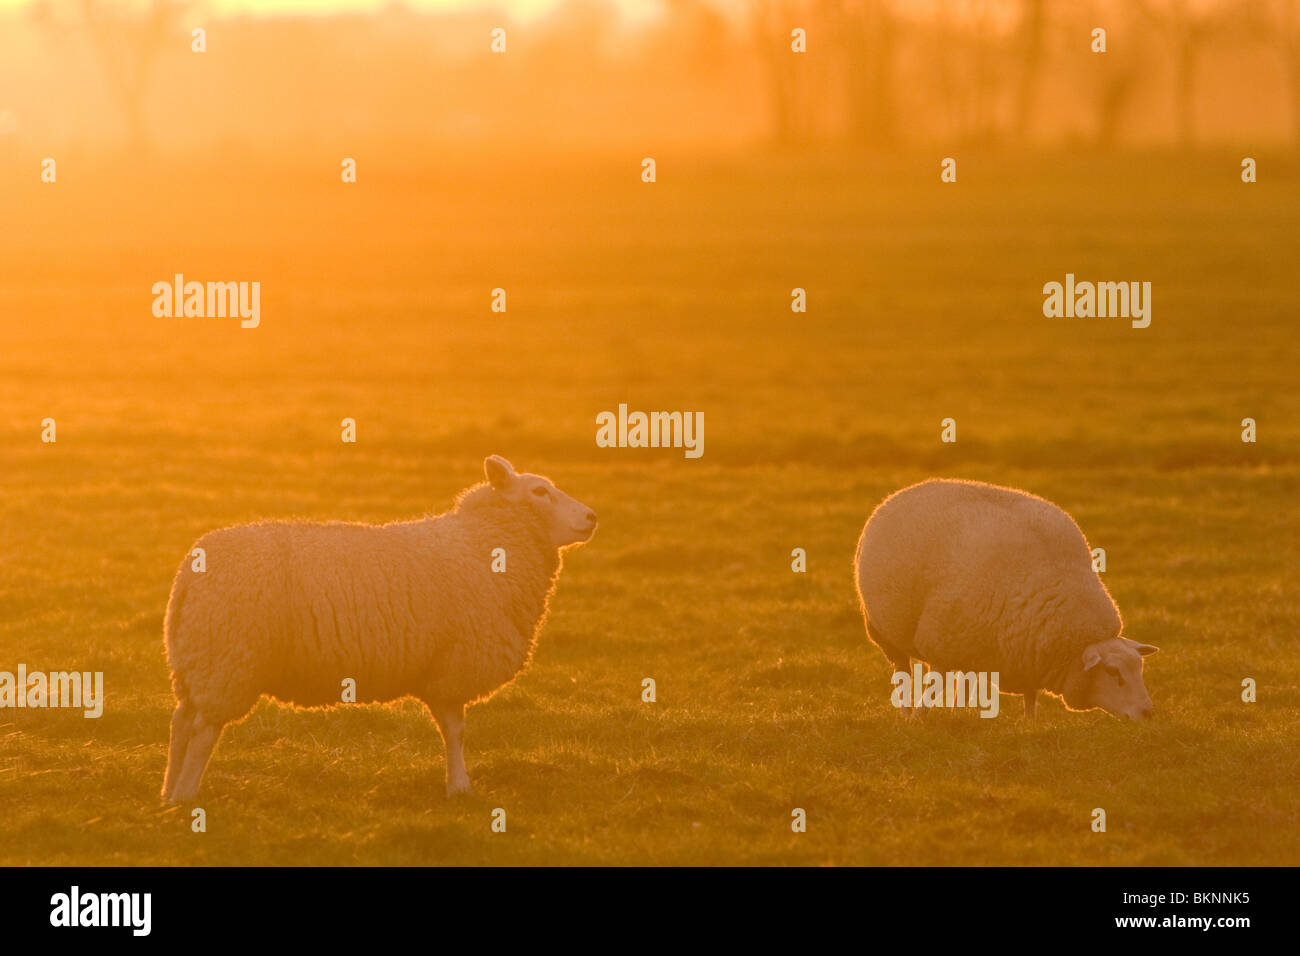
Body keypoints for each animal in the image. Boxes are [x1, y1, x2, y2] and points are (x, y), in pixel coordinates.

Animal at [161, 455, 597, 803]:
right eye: (539, 491)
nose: (592, 517)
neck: (482, 544)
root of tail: (188, 573)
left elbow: (451, 730)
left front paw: (457, 784)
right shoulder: (451, 668)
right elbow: (455, 731)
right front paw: (460, 787)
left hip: (196, 661)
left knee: (181, 723)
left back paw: (168, 792)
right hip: (228, 661)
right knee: (202, 731)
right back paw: (186, 794)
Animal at [854, 478, 1157, 720]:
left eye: (1139, 669)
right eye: (1113, 673)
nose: (1148, 712)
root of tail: (908, 488)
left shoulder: (1027, 654)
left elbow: (1030, 695)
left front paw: (1030, 722)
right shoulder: (940, 642)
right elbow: (932, 687)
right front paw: (918, 719)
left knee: (965, 679)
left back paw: (962, 712)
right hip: (883, 631)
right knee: (902, 672)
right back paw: (907, 712)